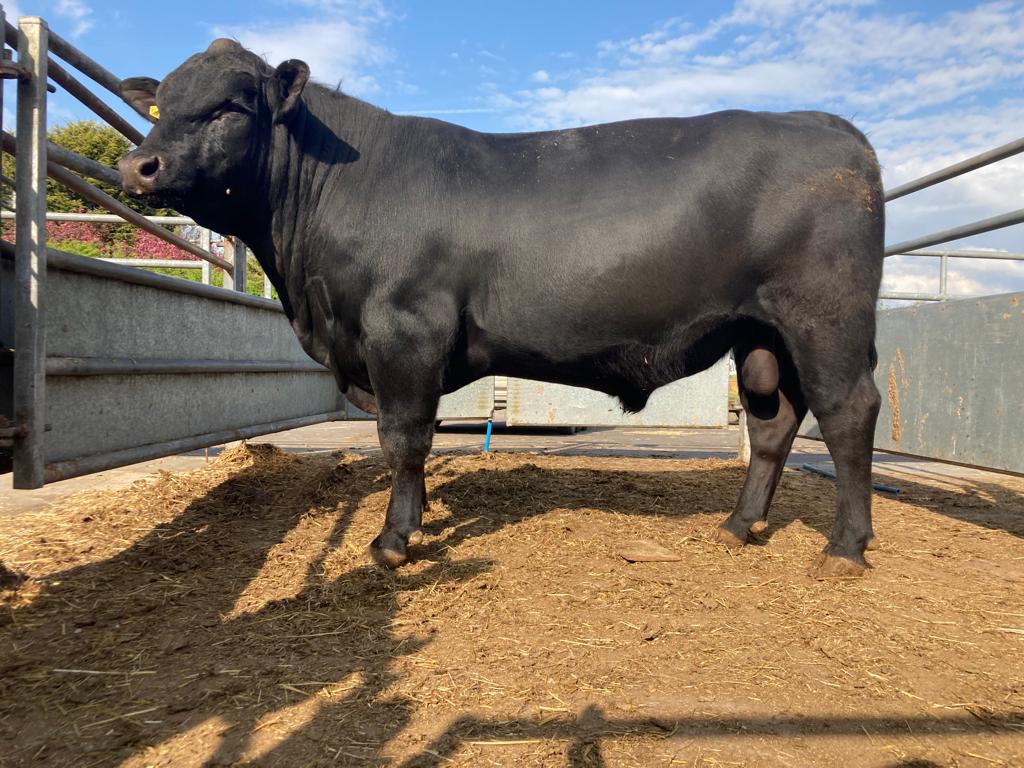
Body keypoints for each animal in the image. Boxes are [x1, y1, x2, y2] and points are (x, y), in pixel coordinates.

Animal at [119, 39, 884, 578]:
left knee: (848, 411)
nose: (138, 166)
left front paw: (394, 539)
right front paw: (418, 516)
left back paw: (844, 549)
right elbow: (414, 442)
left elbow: (403, 438)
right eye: (160, 106)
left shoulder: (403, 332)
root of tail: (831, 126)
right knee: (774, 421)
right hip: (759, 334)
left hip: (825, 317)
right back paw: (738, 525)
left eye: (231, 107)